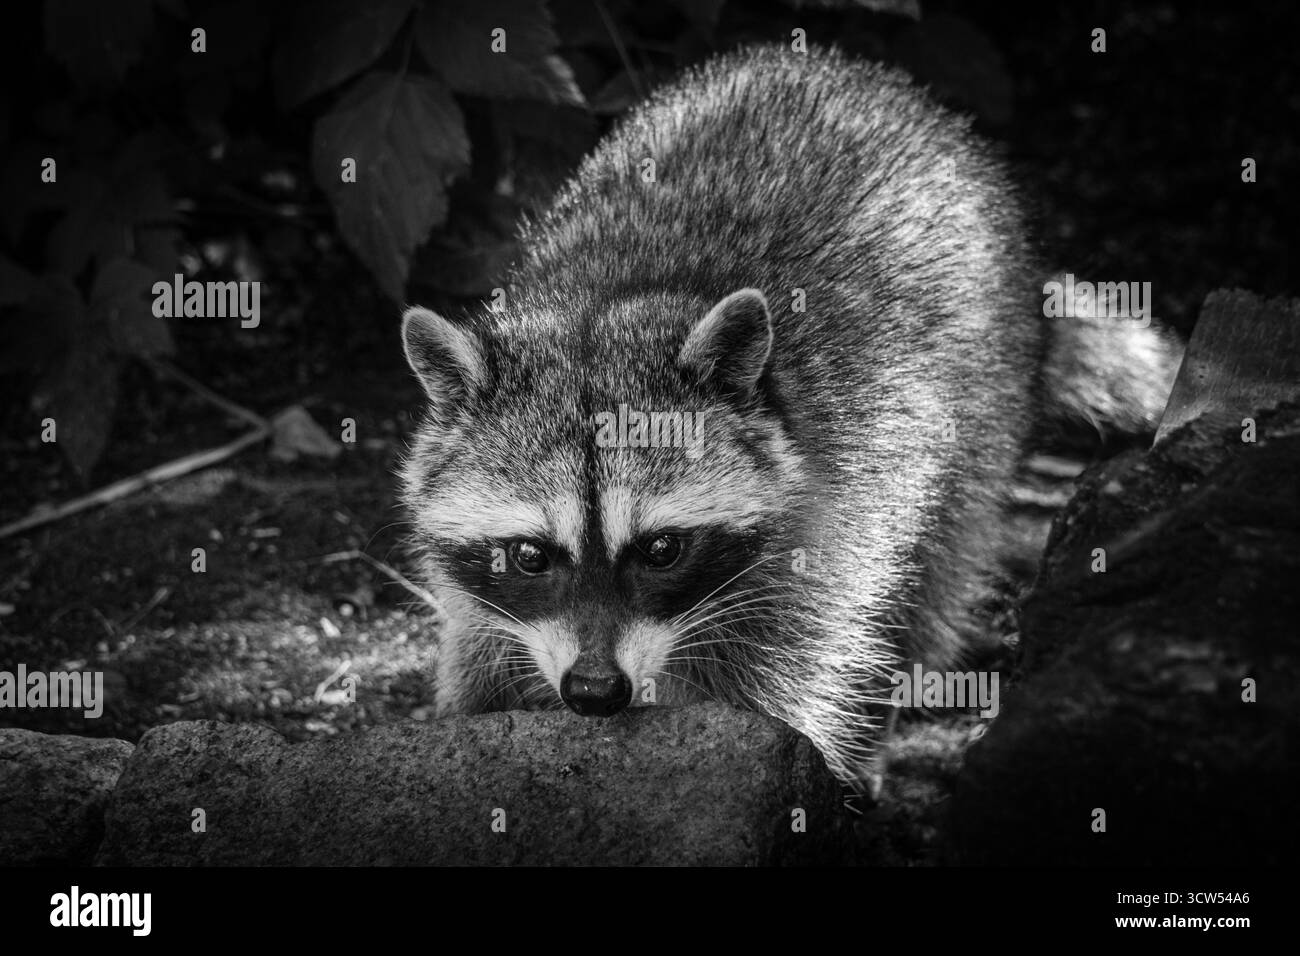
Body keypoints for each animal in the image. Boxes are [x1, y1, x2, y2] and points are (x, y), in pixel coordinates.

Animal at [399, 45, 1179, 787]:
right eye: (531, 554)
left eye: (662, 549)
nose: (595, 691)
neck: (608, 305)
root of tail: (854, 74)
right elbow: (481, 655)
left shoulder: (824, 544)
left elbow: (784, 693)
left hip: (982, 394)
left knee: (930, 582)